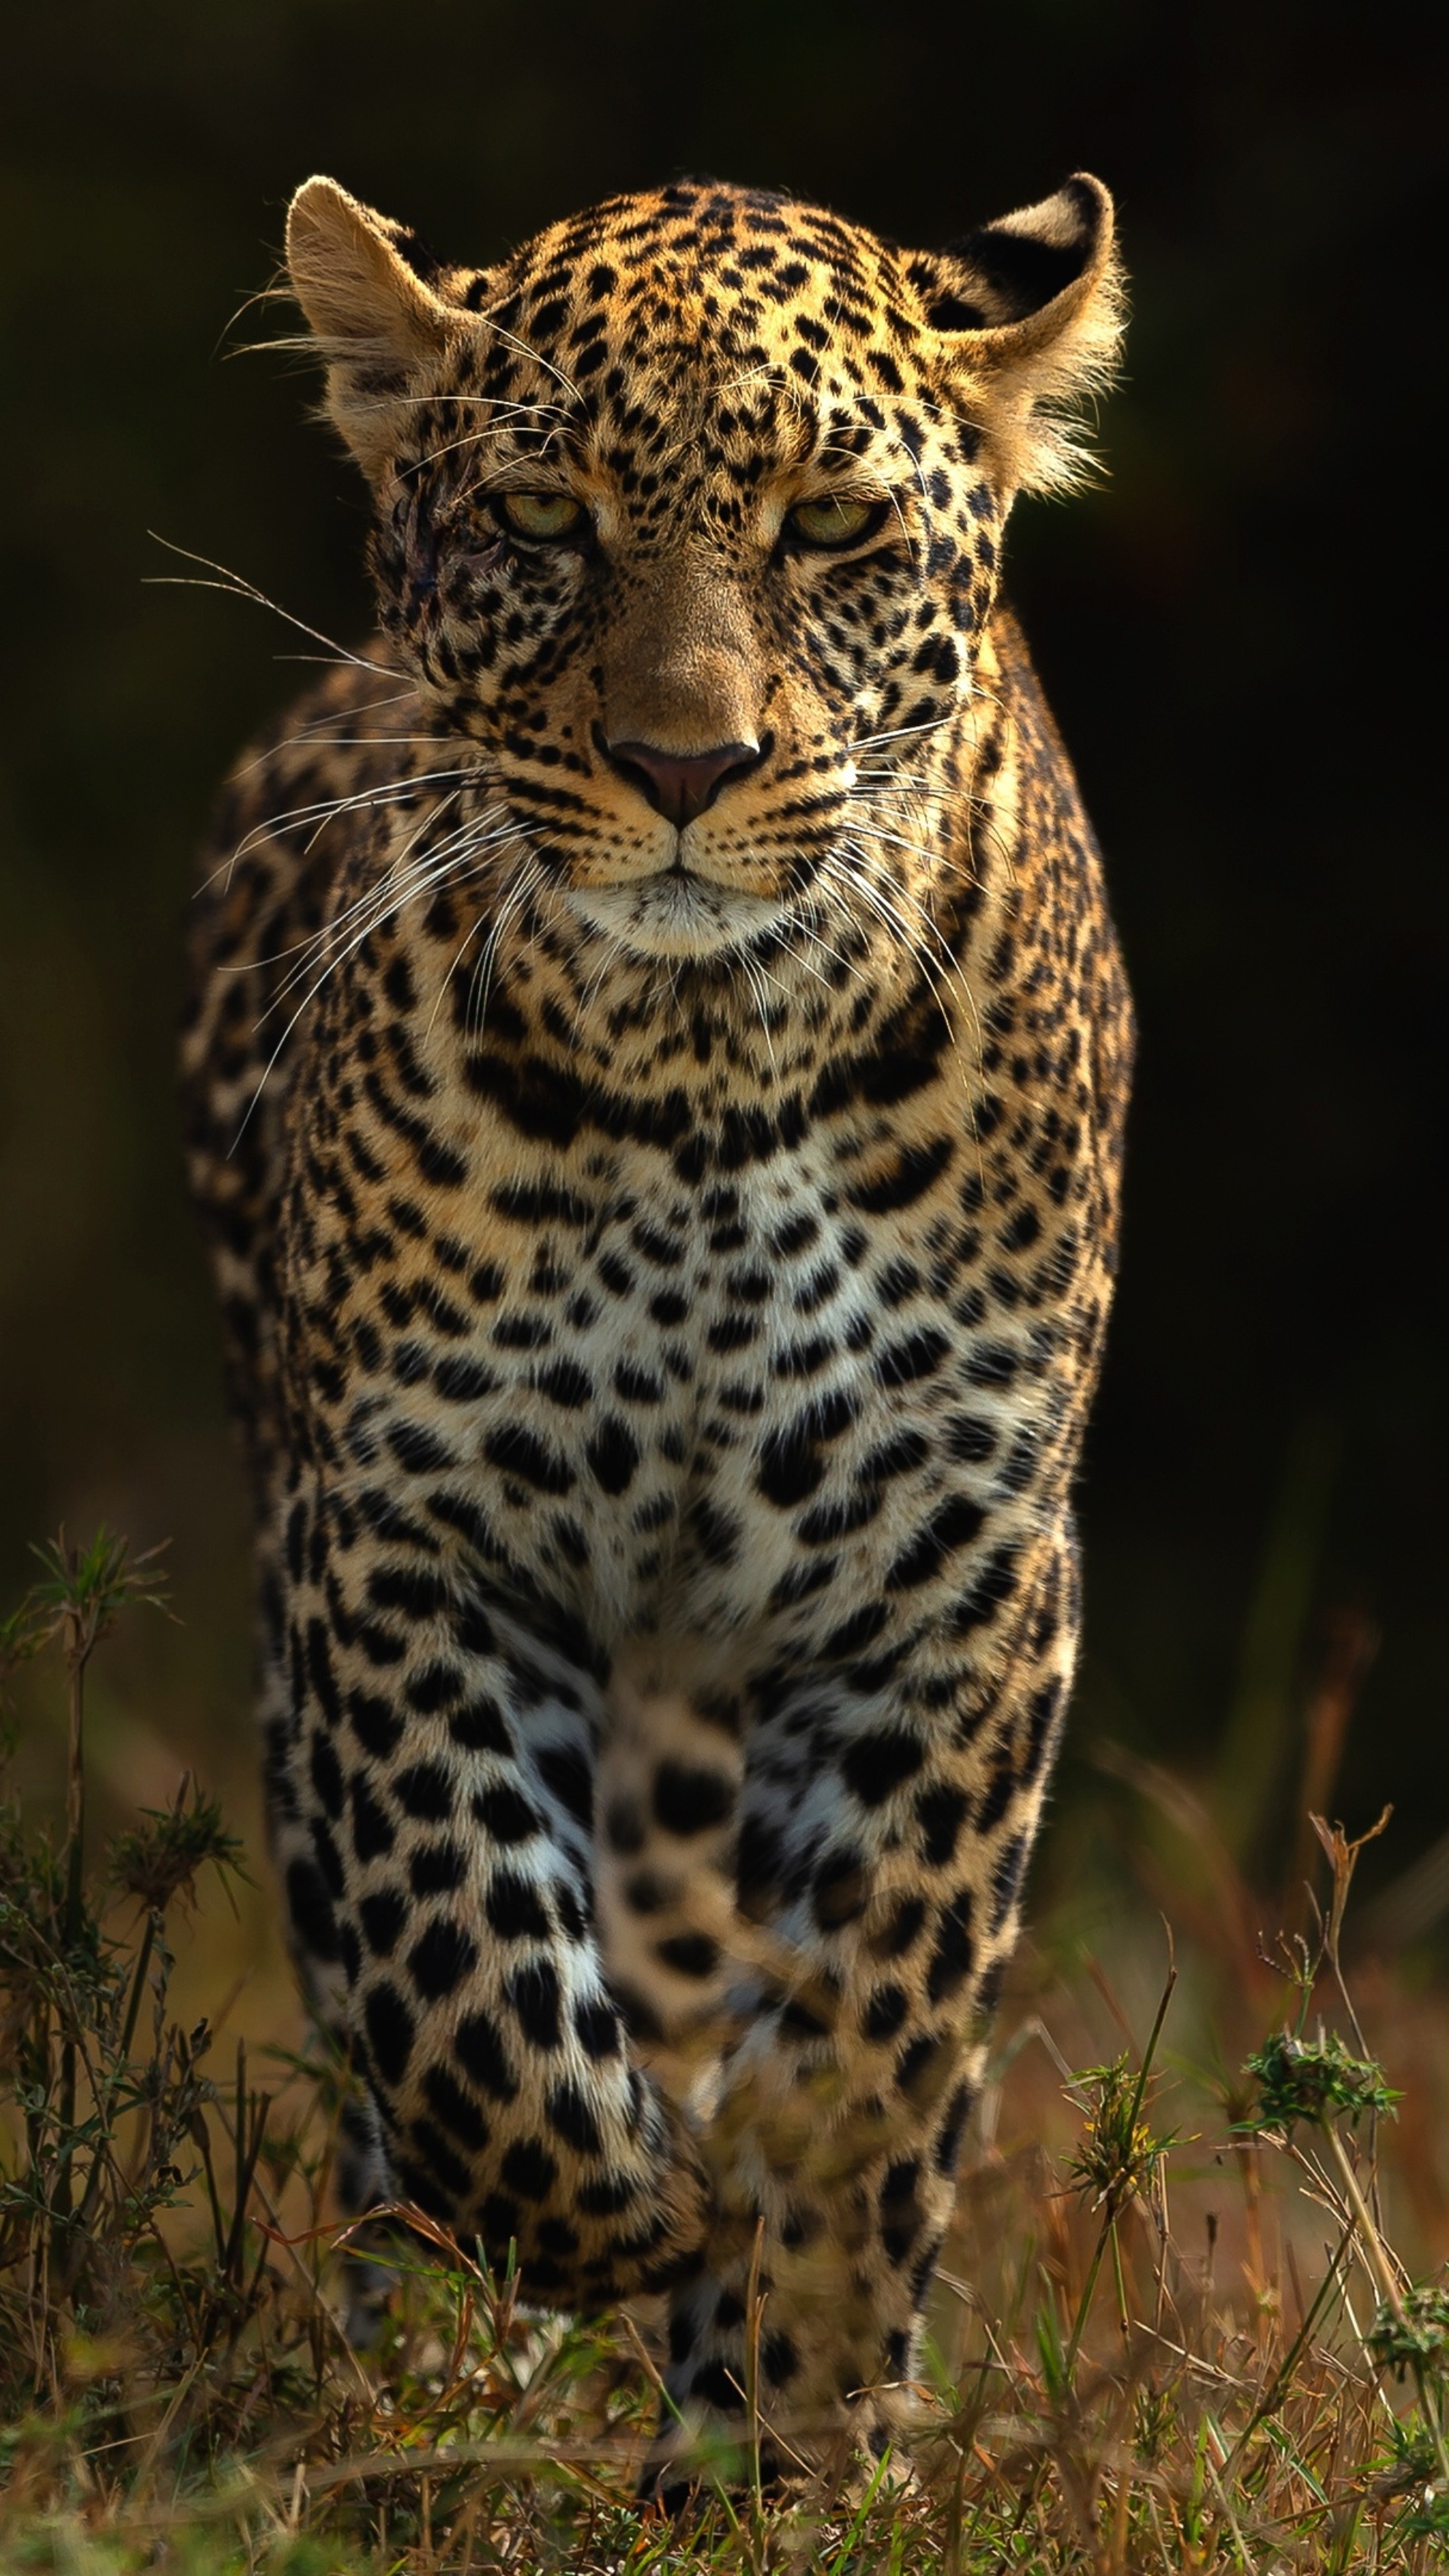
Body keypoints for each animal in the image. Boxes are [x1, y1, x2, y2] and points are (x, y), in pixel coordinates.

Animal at [181, 164, 1133, 2490]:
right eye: (541, 515)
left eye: (832, 529)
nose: (685, 764)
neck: (705, 1069)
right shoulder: (401, 1525)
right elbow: (456, 1942)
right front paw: (599, 2208)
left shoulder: (959, 1577)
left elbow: (877, 2027)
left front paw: (790, 2410)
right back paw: (435, 2353)